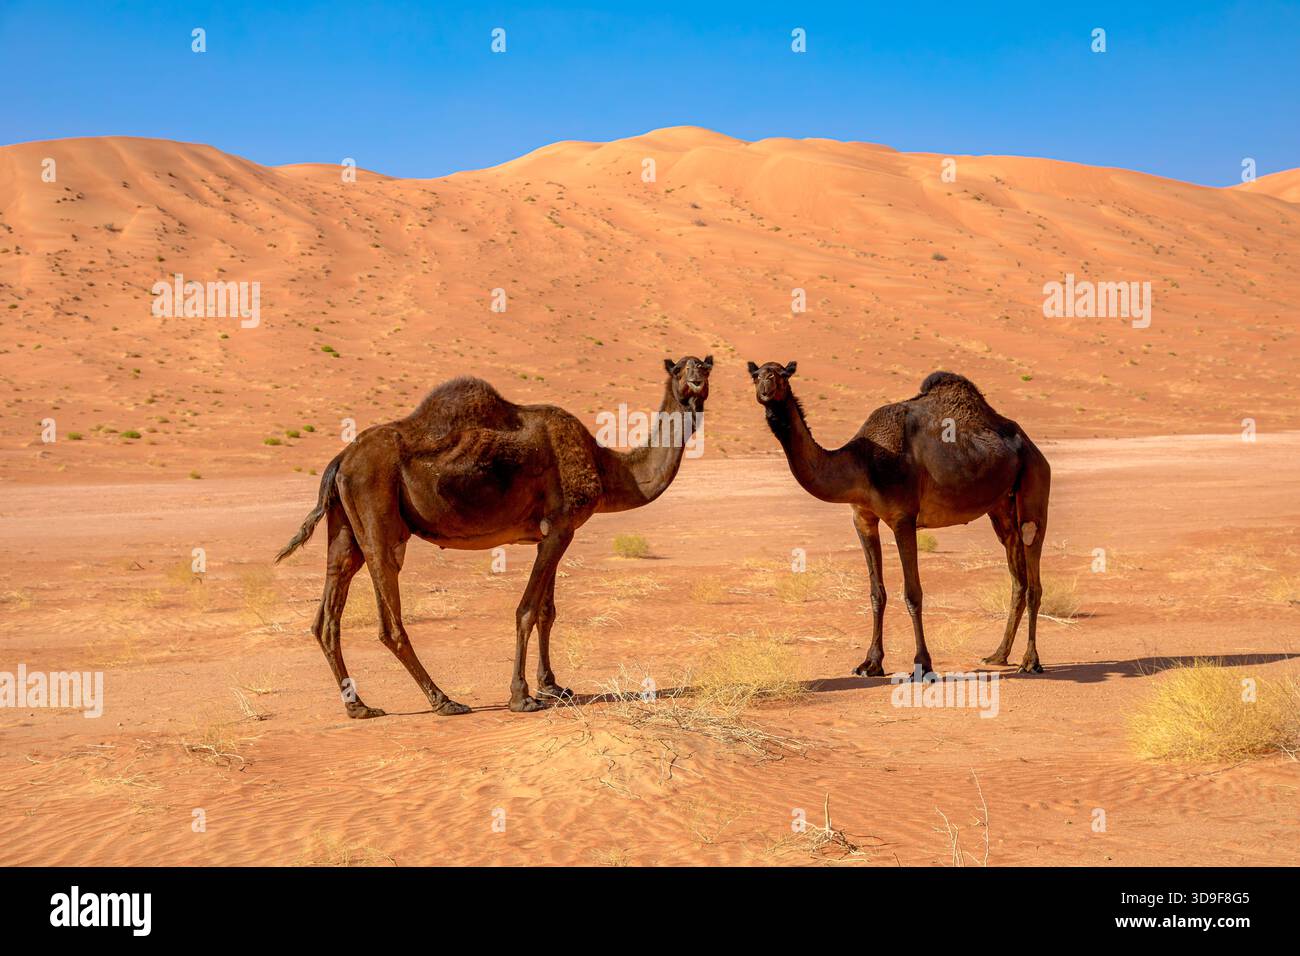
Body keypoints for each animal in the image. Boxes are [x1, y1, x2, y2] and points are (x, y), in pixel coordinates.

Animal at [277, 356, 712, 717]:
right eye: (679, 369)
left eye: (706, 367)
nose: (695, 379)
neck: (605, 467)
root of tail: (340, 460)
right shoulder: (559, 530)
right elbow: (526, 611)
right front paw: (522, 696)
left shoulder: (554, 533)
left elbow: (547, 611)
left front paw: (553, 686)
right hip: (378, 518)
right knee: (390, 622)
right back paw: (444, 700)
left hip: (344, 528)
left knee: (327, 616)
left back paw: (359, 706)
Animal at [747, 361, 1052, 676]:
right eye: (755, 375)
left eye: (781, 375)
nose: (766, 390)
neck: (865, 461)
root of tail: (1031, 446)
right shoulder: (862, 518)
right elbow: (876, 593)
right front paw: (871, 663)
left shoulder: (903, 518)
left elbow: (913, 592)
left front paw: (922, 663)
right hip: (1001, 506)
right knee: (1018, 576)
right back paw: (998, 655)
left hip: (1035, 481)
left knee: (1033, 571)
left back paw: (1031, 661)